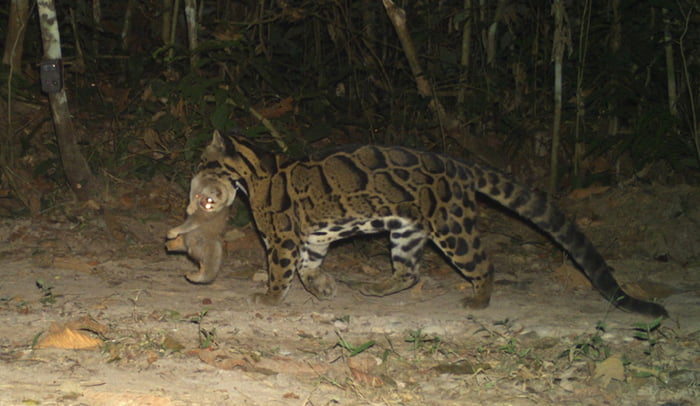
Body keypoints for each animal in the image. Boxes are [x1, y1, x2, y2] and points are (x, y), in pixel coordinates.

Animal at [186, 130, 668, 317]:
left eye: (206, 161)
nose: (195, 168)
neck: (256, 170)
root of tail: (460, 165)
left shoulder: (284, 237)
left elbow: (283, 271)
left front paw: (269, 298)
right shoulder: (314, 237)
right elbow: (308, 267)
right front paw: (323, 288)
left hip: (450, 227)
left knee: (483, 263)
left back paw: (479, 300)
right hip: (405, 231)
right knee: (410, 271)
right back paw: (376, 286)